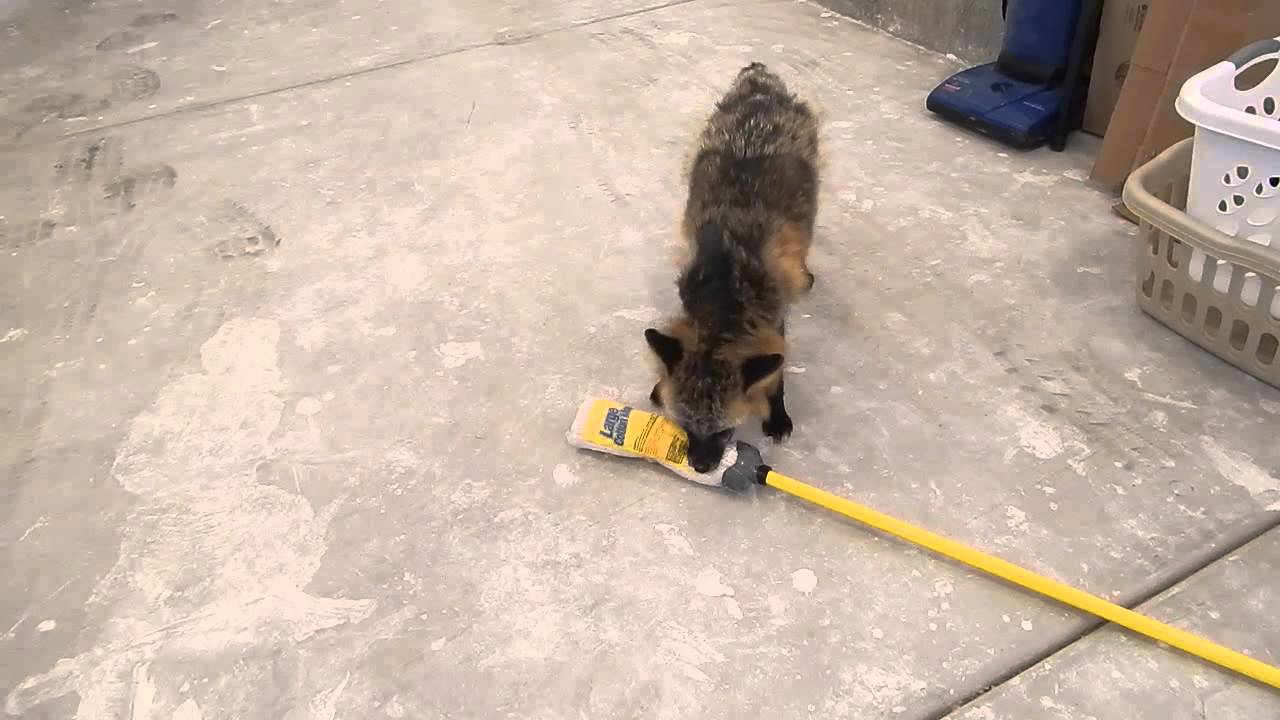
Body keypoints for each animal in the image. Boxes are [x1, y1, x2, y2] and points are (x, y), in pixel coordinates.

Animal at [645, 62, 820, 473]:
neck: (725, 286)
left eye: (724, 431)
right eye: (684, 426)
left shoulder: (774, 315)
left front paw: (777, 413)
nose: (699, 467)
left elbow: (777, 373)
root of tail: (759, 87)